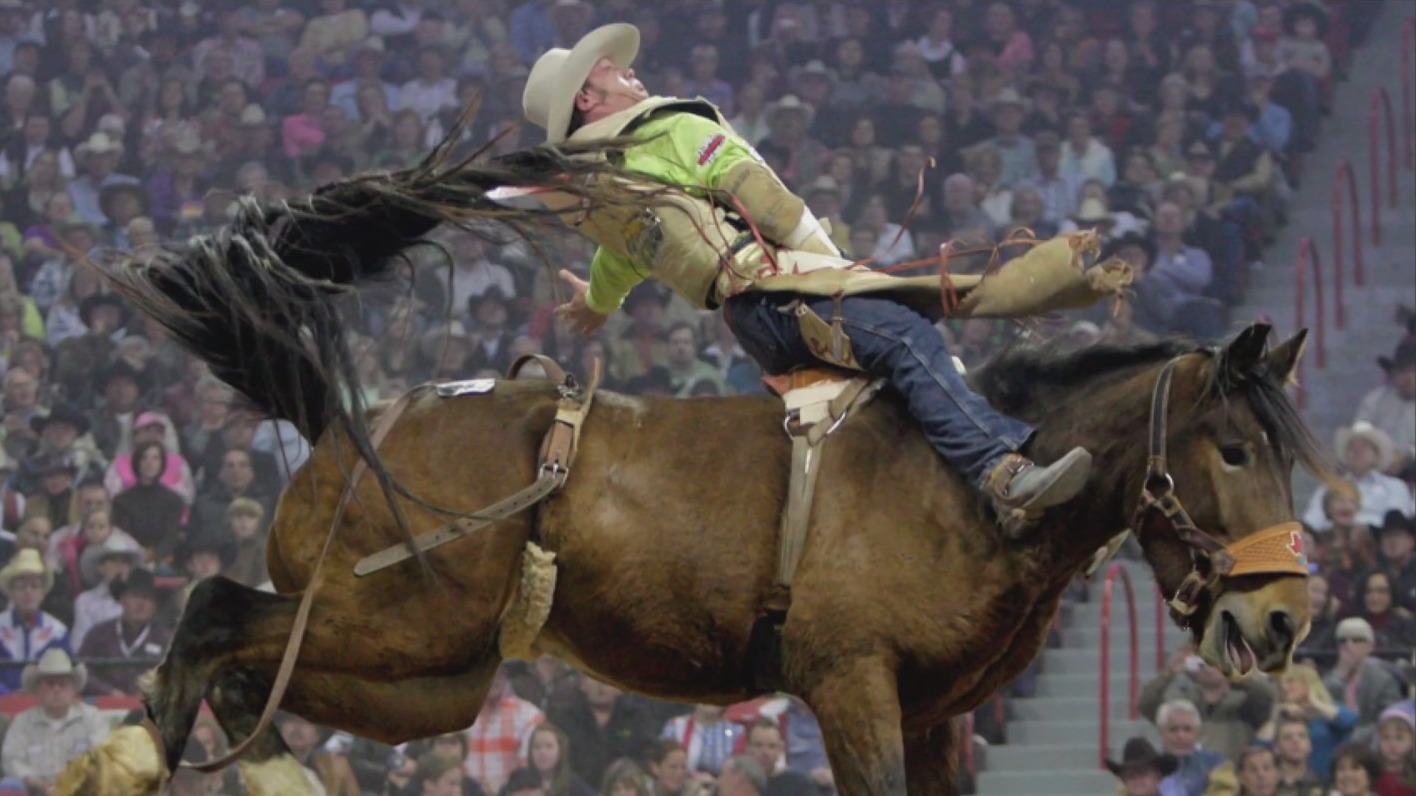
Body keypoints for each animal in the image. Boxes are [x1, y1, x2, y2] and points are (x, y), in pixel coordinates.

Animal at [55, 145, 1327, 796]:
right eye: (1231, 446)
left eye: (1286, 451)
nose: (1281, 618)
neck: (964, 487)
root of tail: (352, 420)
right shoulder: (850, 685)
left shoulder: (934, 718)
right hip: (391, 624)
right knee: (211, 612)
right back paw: (120, 760)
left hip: (433, 675)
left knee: (242, 665)